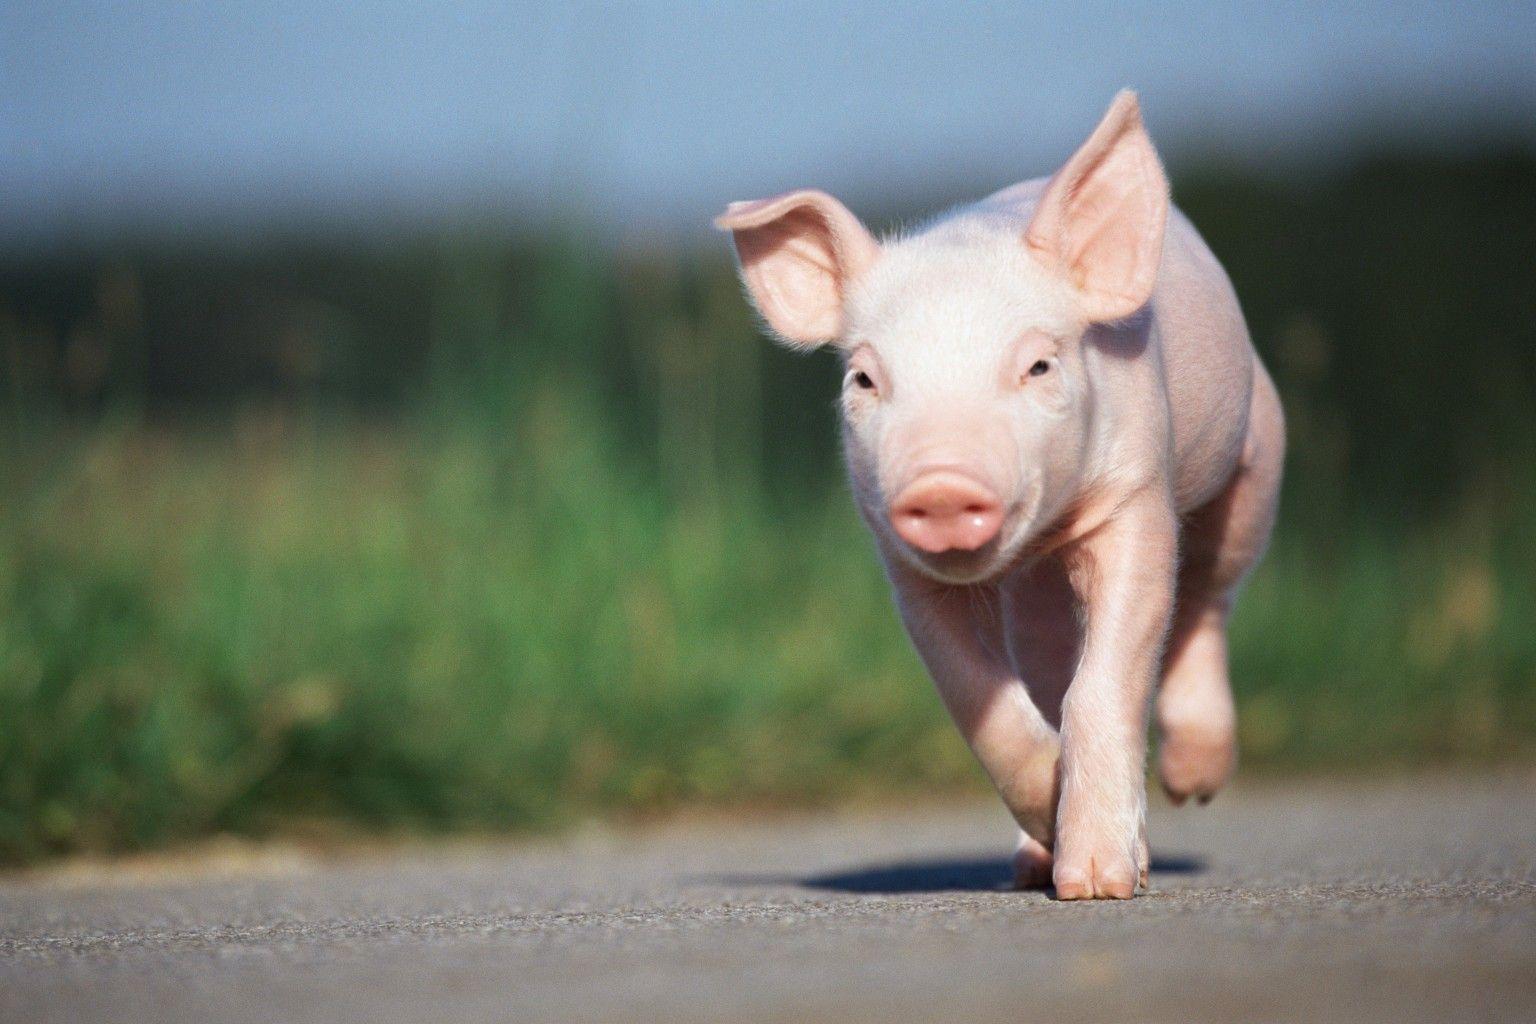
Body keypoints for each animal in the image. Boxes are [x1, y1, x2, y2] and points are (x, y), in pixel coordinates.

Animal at [715, 91, 1284, 900]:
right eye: (864, 378)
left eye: (1039, 366)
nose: (942, 483)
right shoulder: (903, 564)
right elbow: (977, 699)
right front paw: (1054, 822)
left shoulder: (1137, 494)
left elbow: (1106, 679)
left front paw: (1100, 886)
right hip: (1035, 594)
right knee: (1048, 662)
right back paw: (1031, 864)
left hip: (1258, 450)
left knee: (1209, 595)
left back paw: (1193, 785)